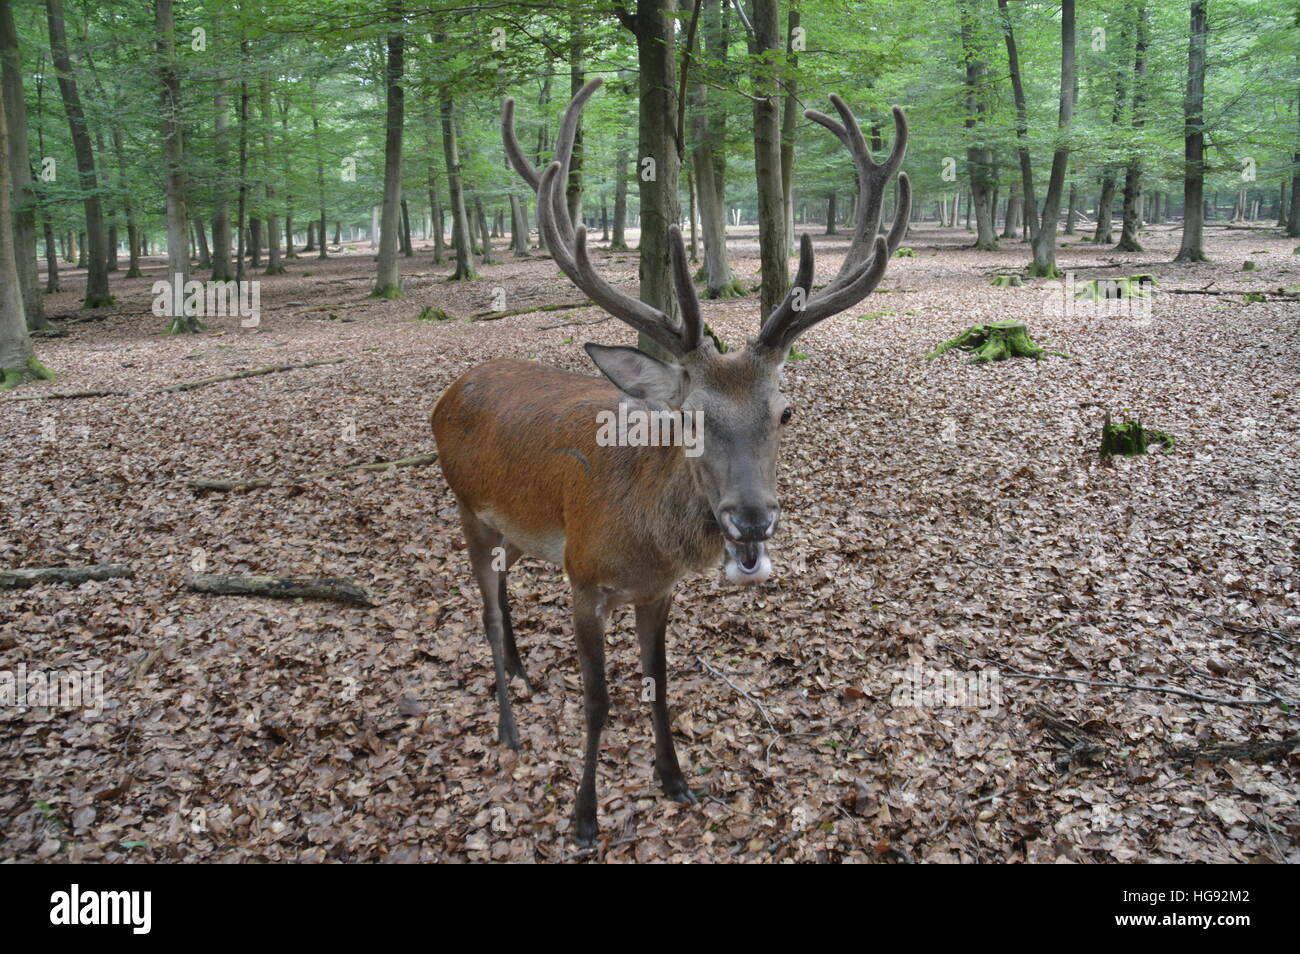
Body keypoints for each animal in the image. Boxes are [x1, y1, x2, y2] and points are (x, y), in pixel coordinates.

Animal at [431, 77, 910, 846]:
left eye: (785, 411)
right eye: (688, 417)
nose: (753, 519)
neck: (644, 541)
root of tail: (451, 389)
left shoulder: (657, 591)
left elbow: (660, 683)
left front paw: (675, 780)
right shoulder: (583, 577)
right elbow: (598, 699)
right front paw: (584, 816)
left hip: (512, 530)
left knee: (501, 598)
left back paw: (526, 676)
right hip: (464, 507)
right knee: (484, 610)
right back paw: (508, 726)